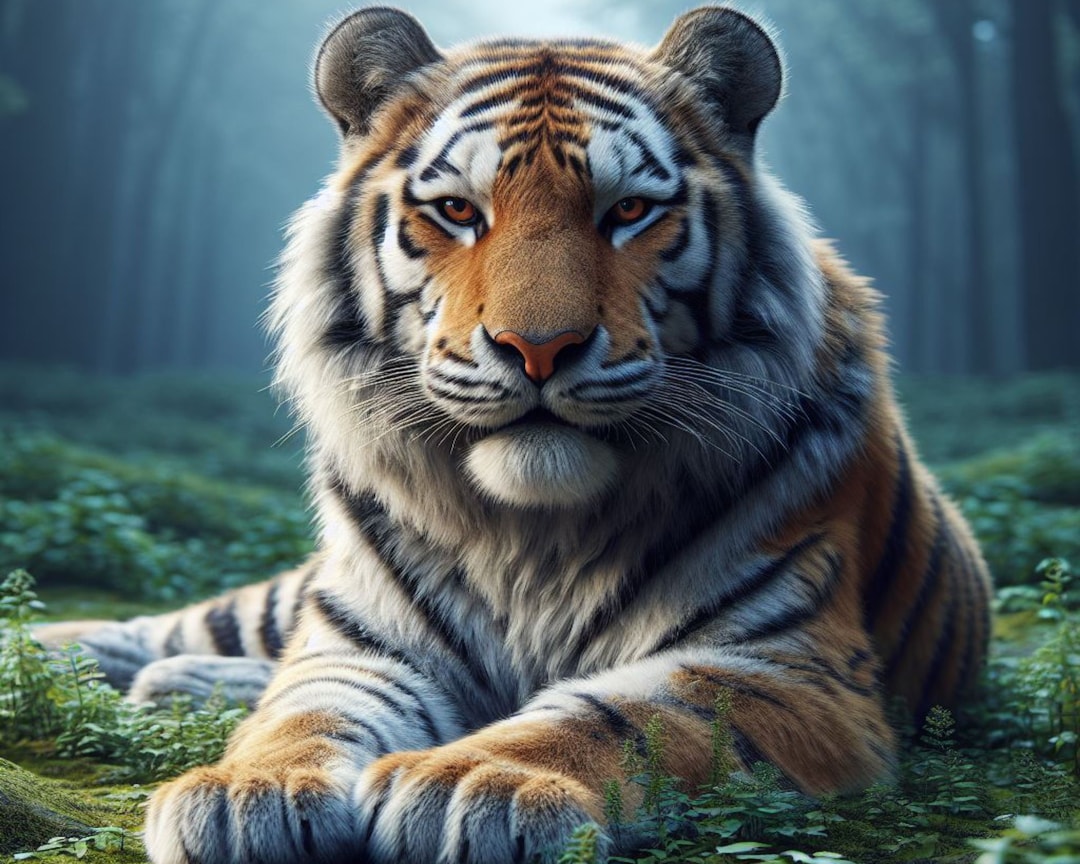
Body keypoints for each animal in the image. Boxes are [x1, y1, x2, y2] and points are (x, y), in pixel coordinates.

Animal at [35, 6, 993, 864]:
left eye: (629, 212)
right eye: (459, 211)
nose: (538, 348)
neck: (531, 532)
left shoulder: (778, 667)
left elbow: (616, 715)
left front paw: (471, 784)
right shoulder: (367, 635)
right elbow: (307, 705)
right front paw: (248, 791)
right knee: (218, 623)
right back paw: (64, 651)